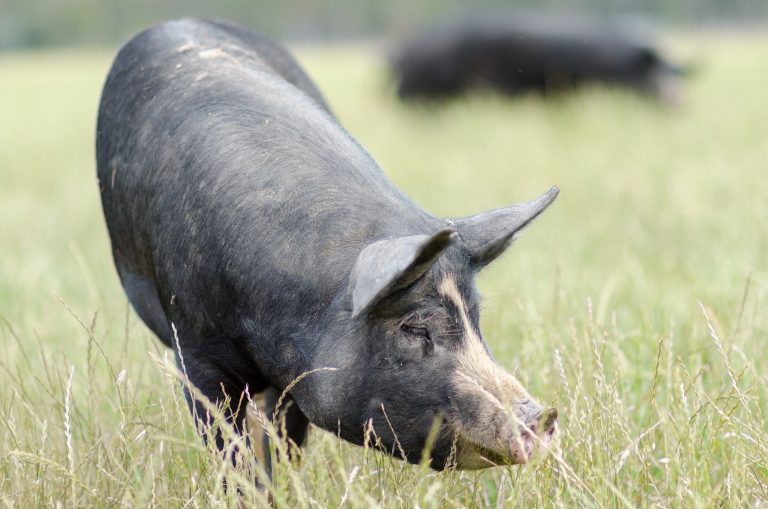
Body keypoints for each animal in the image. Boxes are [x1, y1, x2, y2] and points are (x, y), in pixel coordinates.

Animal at [96, 18, 559, 474]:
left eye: (476, 319)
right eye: (414, 327)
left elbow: (288, 440)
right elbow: (230, 450)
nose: (543, 417)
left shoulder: (298, 377)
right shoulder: (195, 352)